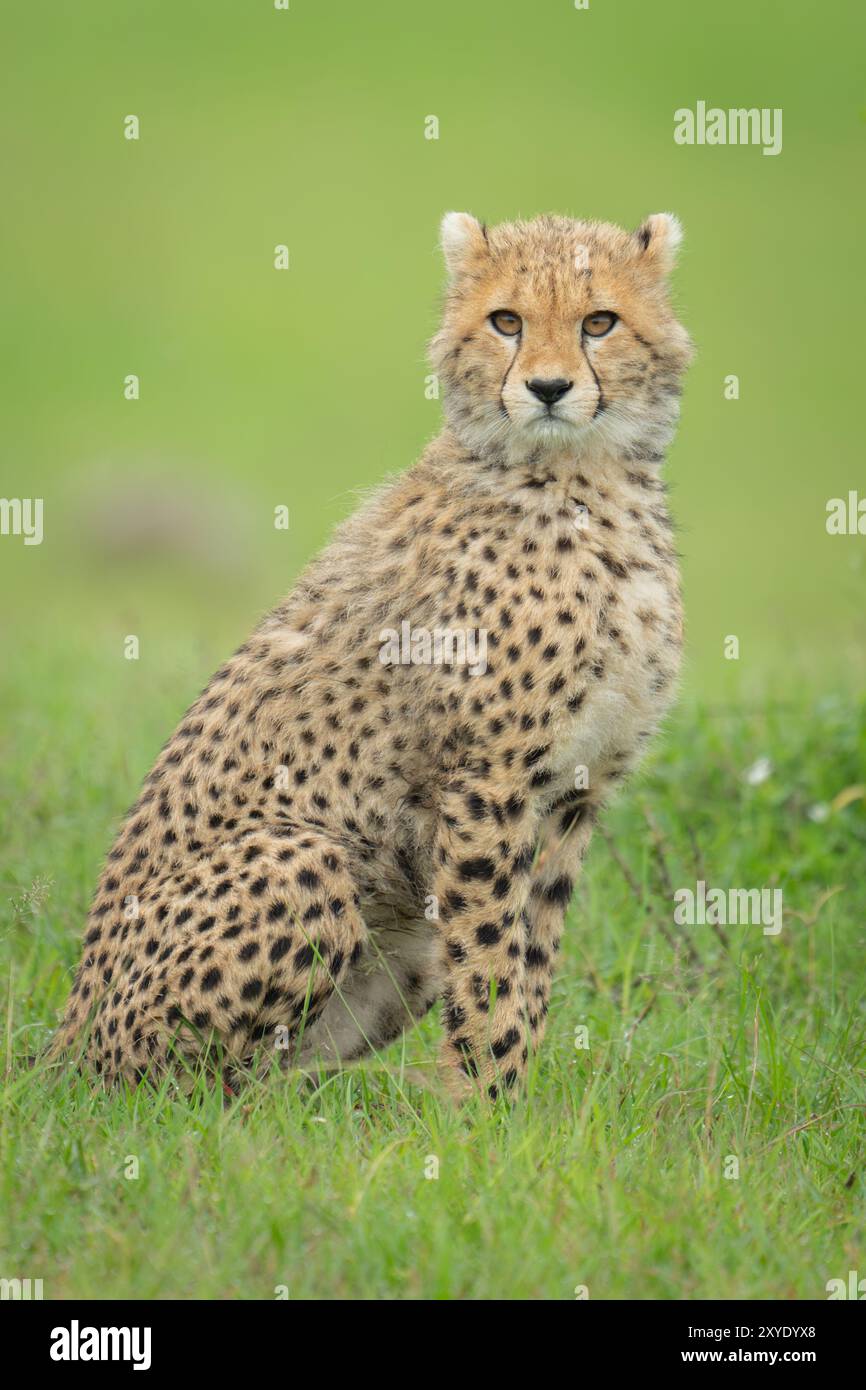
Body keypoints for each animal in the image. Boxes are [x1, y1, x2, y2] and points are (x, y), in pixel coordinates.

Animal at [49, 209, 693, 1099]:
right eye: (507, 321)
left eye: (600, 322)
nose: (549, 389)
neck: (583, 480)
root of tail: (62, 1036)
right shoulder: (486, 783)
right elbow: (490, 961)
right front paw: (482, 1107)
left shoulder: (575, 789)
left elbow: (533, 955)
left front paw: (513, 1106)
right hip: (300, 858)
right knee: (193, 1093)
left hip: (406, 949)